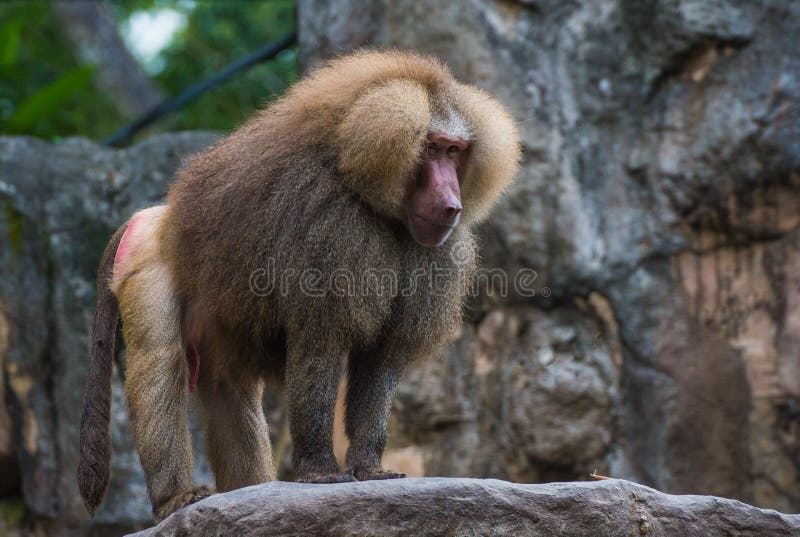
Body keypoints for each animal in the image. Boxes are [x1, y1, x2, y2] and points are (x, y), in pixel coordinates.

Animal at [78, 50, 520, 522]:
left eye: (456, 152)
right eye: (432, 147)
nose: (452, 204)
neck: (369, 196)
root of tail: (157, 214)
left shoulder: (433, 253)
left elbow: (381, 358)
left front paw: (370, 470)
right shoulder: (331, 229)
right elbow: (319, 343)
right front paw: (321, 474)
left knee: (228, 394)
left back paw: (246, 493)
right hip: (147, 264)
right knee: (160, 362)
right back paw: (175, 499)